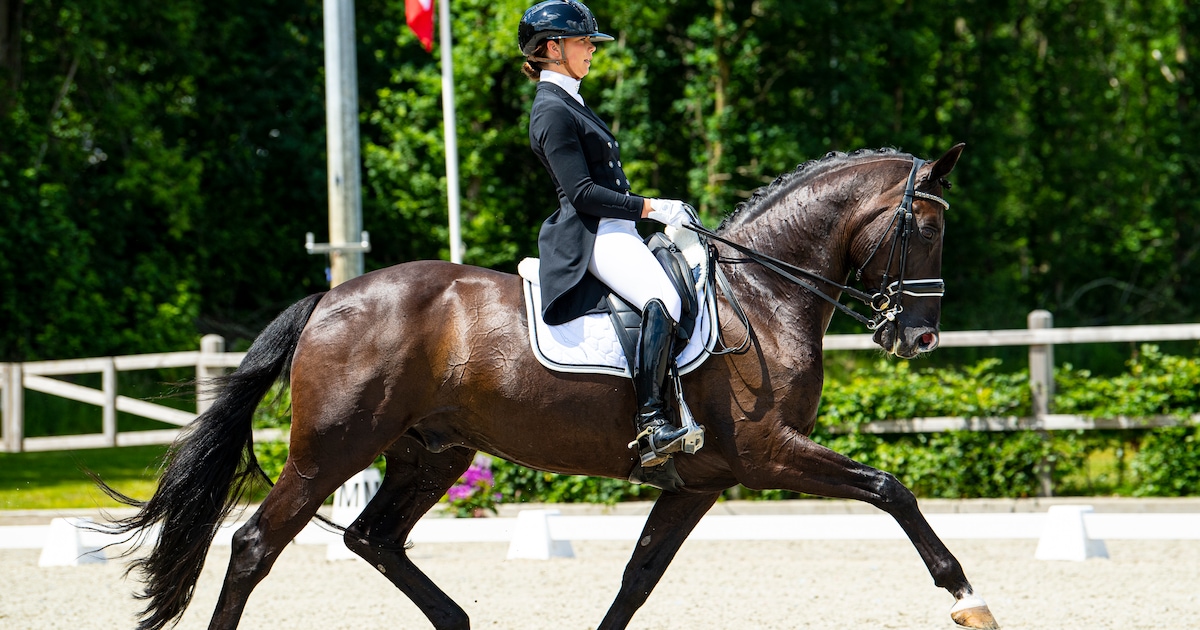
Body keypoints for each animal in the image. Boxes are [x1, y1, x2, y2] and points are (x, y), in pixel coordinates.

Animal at [96, 144, 999, 630]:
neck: (763, 291)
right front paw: (966, 595)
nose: (918, 338)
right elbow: (891, 487)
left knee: (373, 539)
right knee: (256, 545)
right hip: (331, 449)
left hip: (429, 452)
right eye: (923, 226)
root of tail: (331, 297)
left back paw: (459, 622)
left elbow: (638, 579)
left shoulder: (702, 479)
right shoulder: (769, 453)